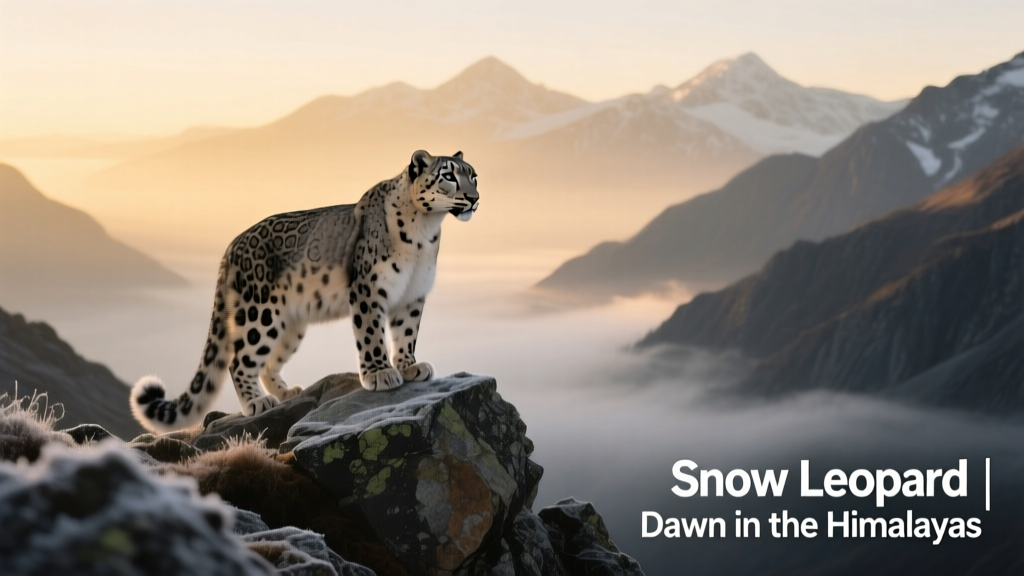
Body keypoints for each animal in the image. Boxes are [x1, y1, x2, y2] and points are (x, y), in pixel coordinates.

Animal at [130, 150, 479, 433]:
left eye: (473, 175)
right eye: (448, 176)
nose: (474, 198)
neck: (424, 233)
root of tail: (231, 247)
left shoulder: (412, 294)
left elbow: (406, 333)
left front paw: (409, 366)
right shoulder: (368, 289)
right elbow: (372, 334)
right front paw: (380, 374)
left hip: (290, 326)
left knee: (268, 362)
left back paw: (287, 393)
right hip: (260, 313)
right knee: (239, 360)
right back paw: (257, 403)